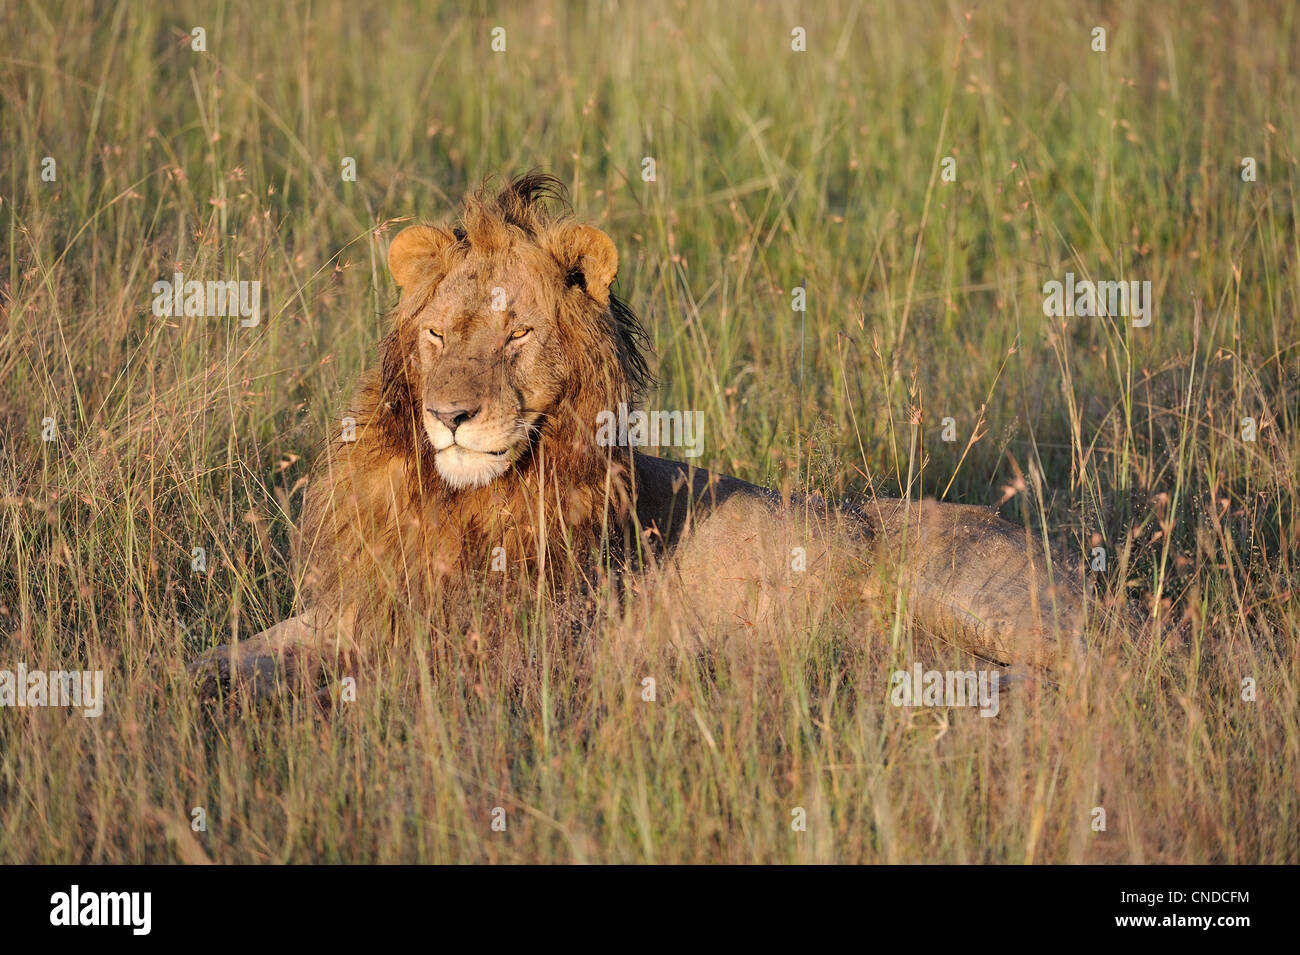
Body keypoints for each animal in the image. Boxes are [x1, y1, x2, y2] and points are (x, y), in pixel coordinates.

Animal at [191, 172, 1086, 695]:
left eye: (516, 335)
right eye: (438, 334)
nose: (449, 416)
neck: (459, 504)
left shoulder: (510, 645)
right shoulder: (361, 605)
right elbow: (243, 650)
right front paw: (181, 679)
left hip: (969, 593)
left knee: (1090, 676)